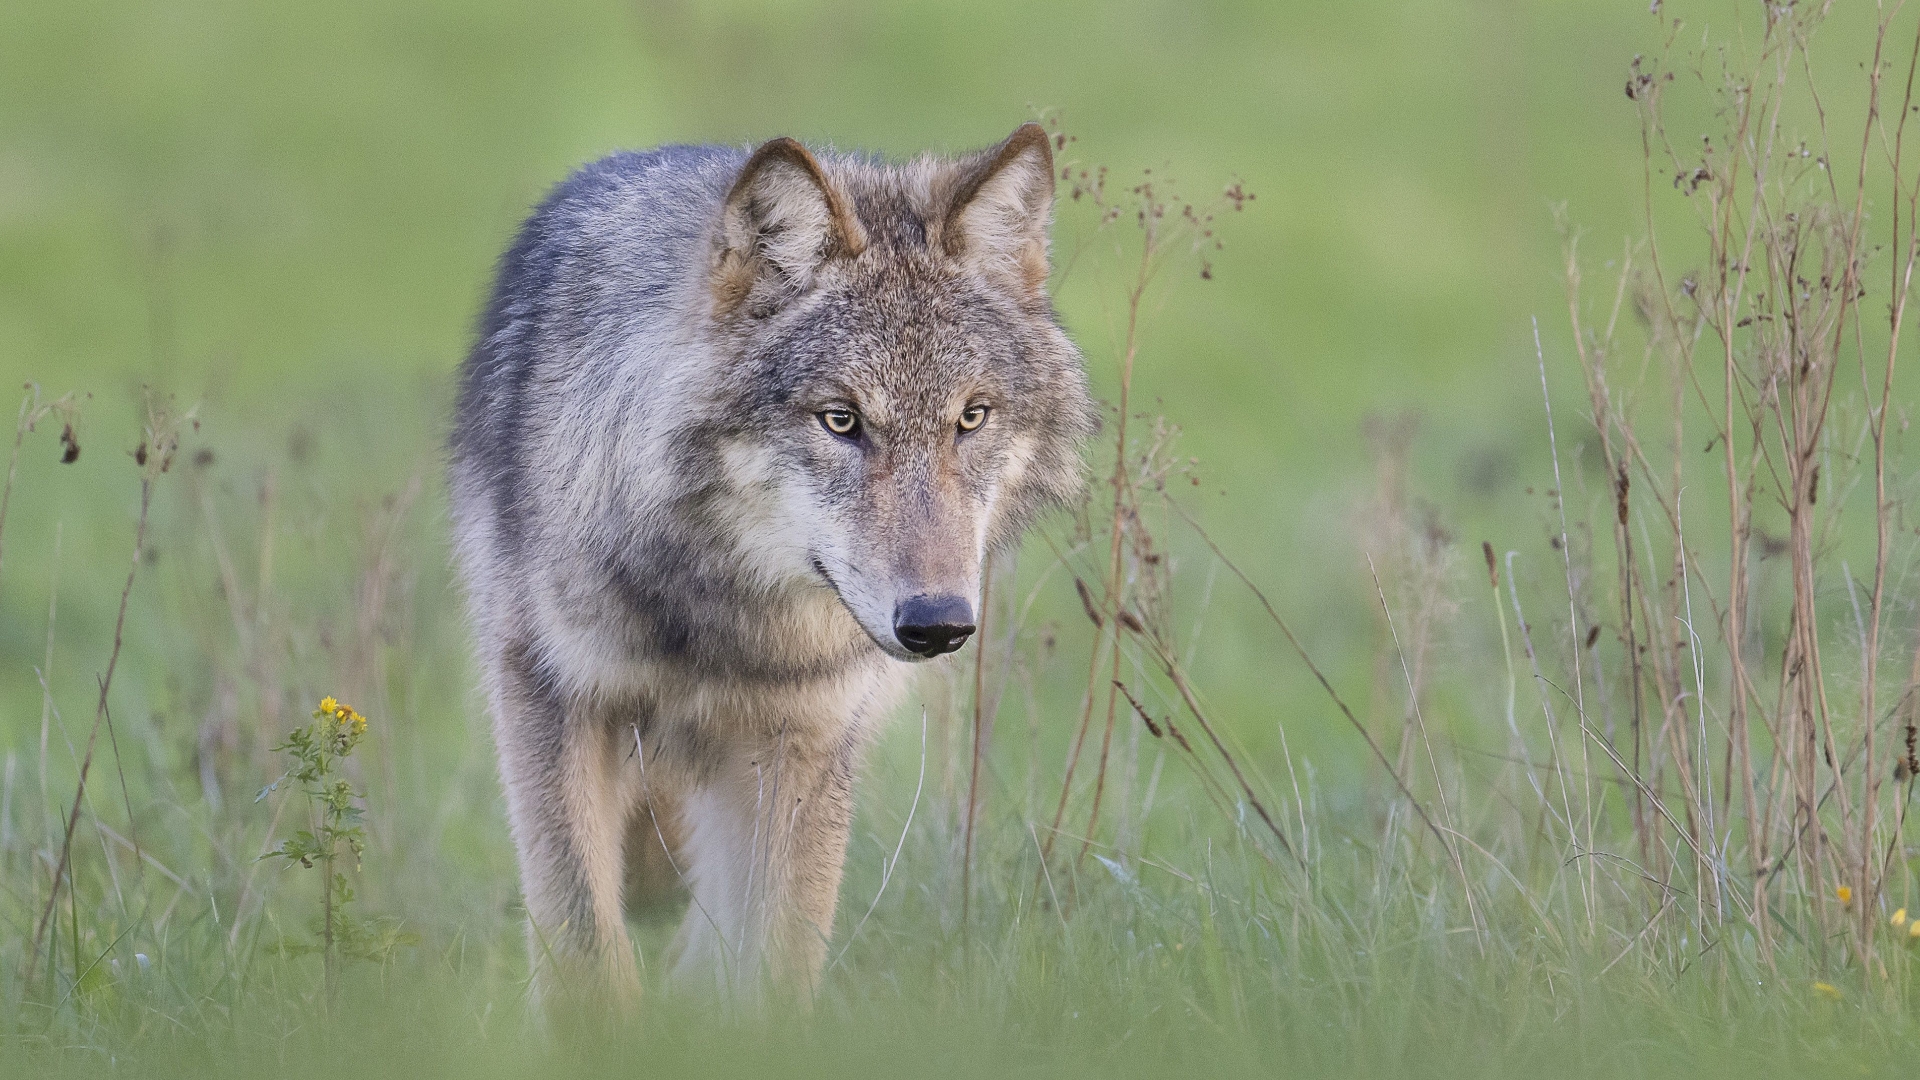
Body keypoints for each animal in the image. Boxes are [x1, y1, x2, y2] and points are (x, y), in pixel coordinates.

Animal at [449, 122, 1095, 1009]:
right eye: (841, 420)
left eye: (972, 418)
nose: (937, 624)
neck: (727, 613)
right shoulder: (550, 693)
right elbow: (586, 956)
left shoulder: (806, 738)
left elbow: (775, 974)